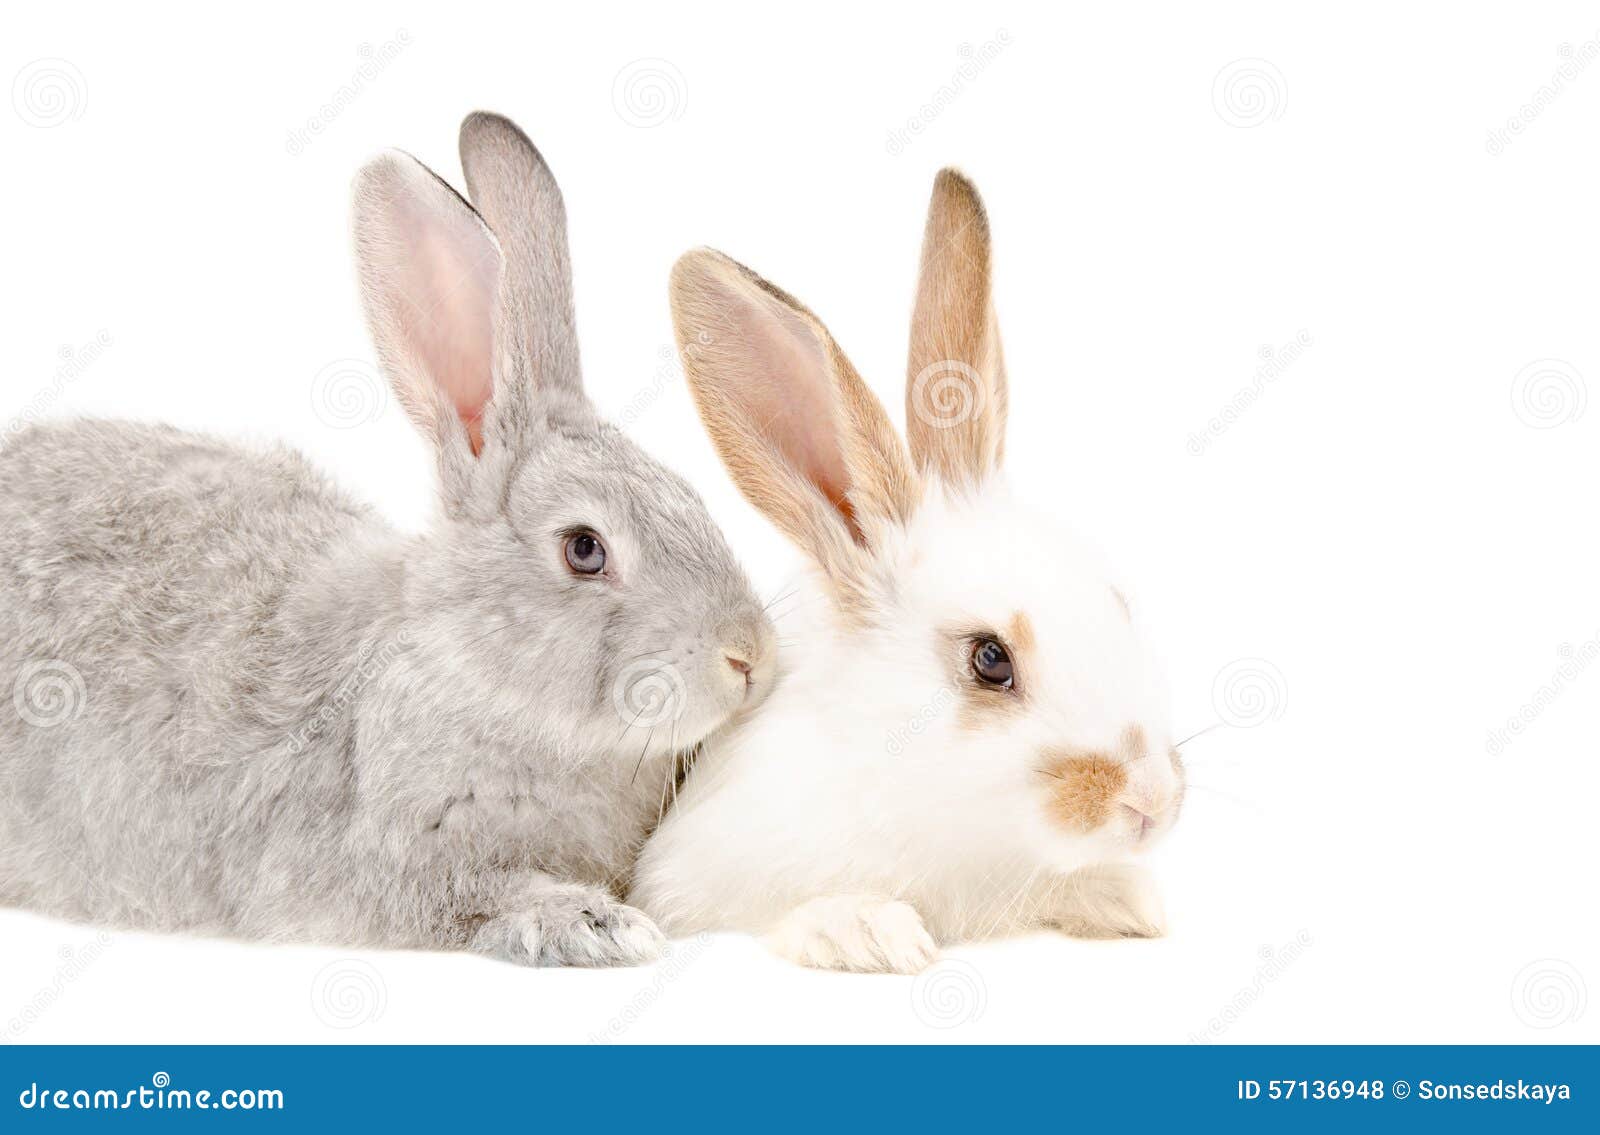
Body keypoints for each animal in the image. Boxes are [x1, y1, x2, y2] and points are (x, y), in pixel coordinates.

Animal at [0, 111, 774, 967]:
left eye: (692, 496)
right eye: (584, 548)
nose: (748, 655)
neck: (473, 675)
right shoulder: (378, 859)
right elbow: (473, 892)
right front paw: (595, 923)